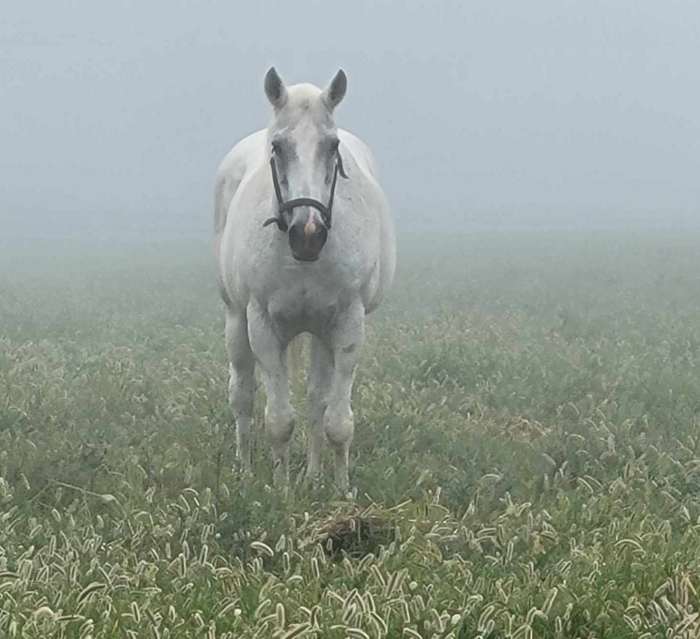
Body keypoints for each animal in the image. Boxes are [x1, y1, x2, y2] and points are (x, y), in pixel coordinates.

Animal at [214, 68, 396, 493]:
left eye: (333, 146)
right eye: (278, 146)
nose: (307, 233)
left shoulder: (347, 324)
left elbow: (336, 419)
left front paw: (340, 488)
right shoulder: (261, 323)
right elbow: (279, 421)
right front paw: (280, 490)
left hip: (318, 332)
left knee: (316, 399)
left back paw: (313, 474)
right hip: (235, 320)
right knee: (242, 394)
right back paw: (245, 469)